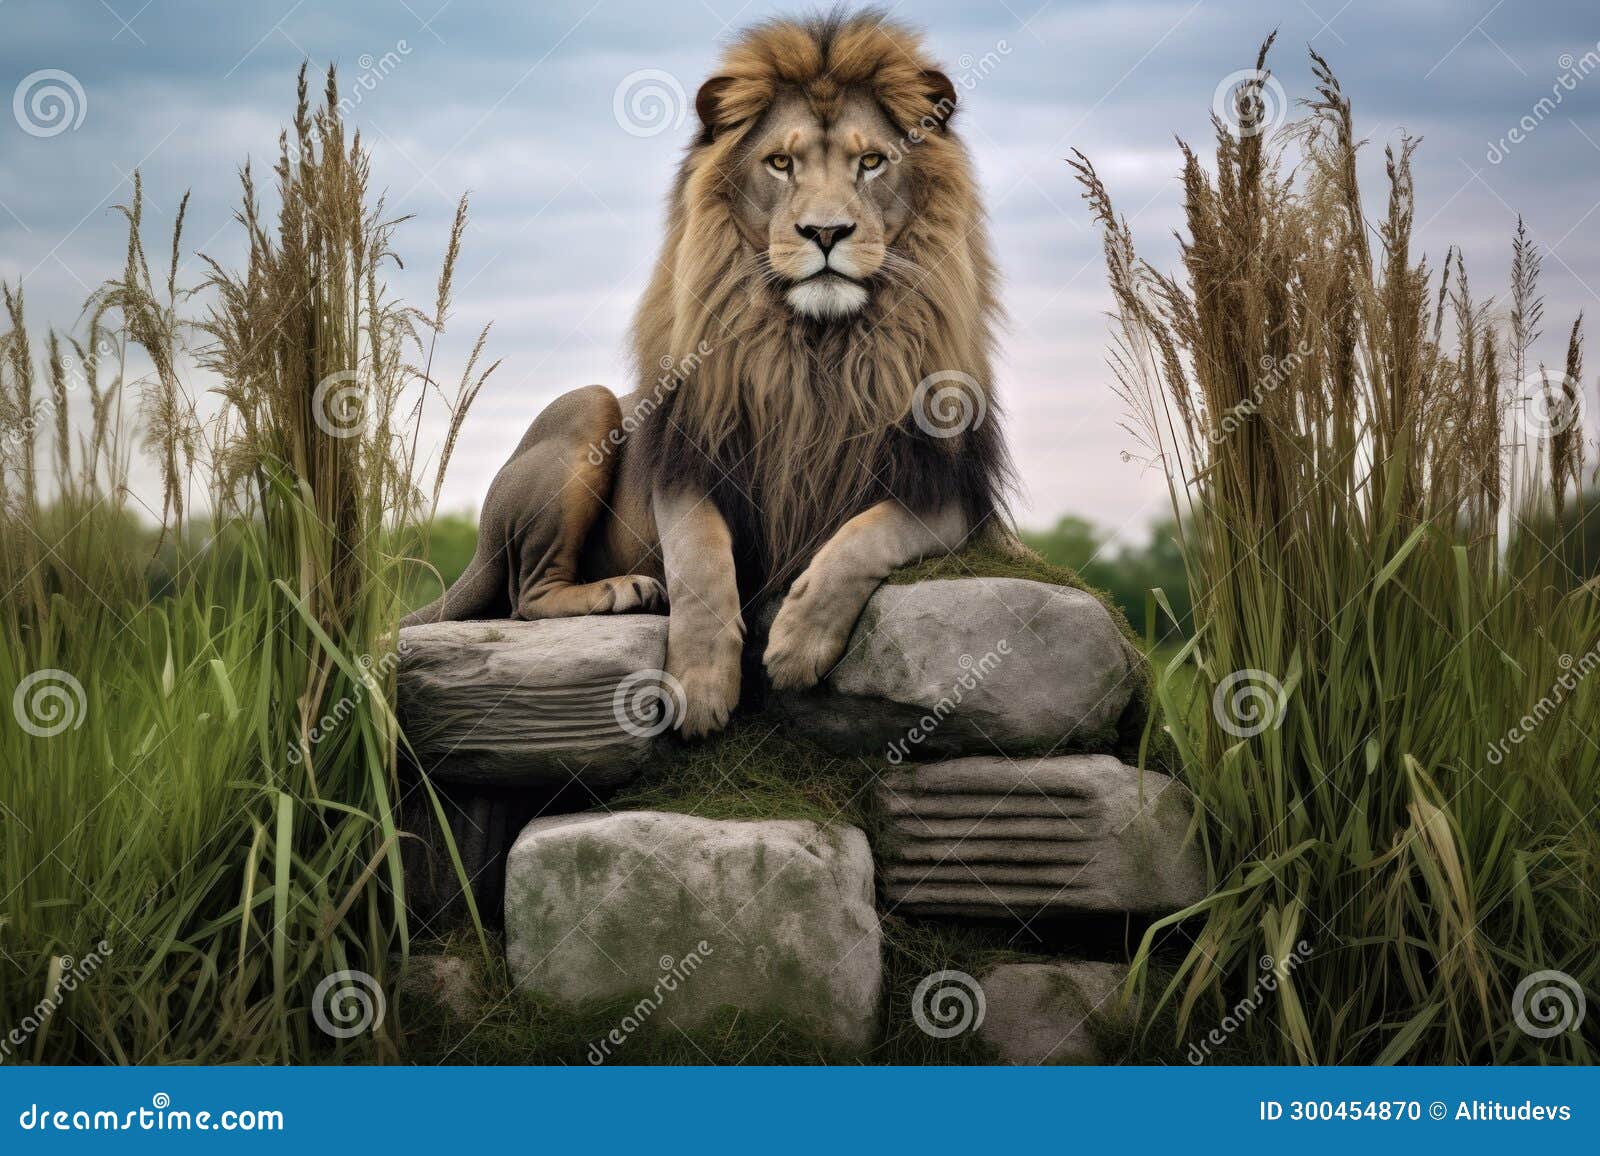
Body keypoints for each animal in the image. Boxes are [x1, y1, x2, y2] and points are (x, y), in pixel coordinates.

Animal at [405, 10, 1014, 737]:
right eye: (780, 162)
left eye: (872, 162)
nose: (826, 232)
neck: (816, 351)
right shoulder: (687, 463)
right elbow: (700, 561)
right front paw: (699, 684)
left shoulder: (951, 497)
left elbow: (866, 537)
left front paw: (799, 641)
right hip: (589, 406)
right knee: (527, 594)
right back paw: (622, 590)